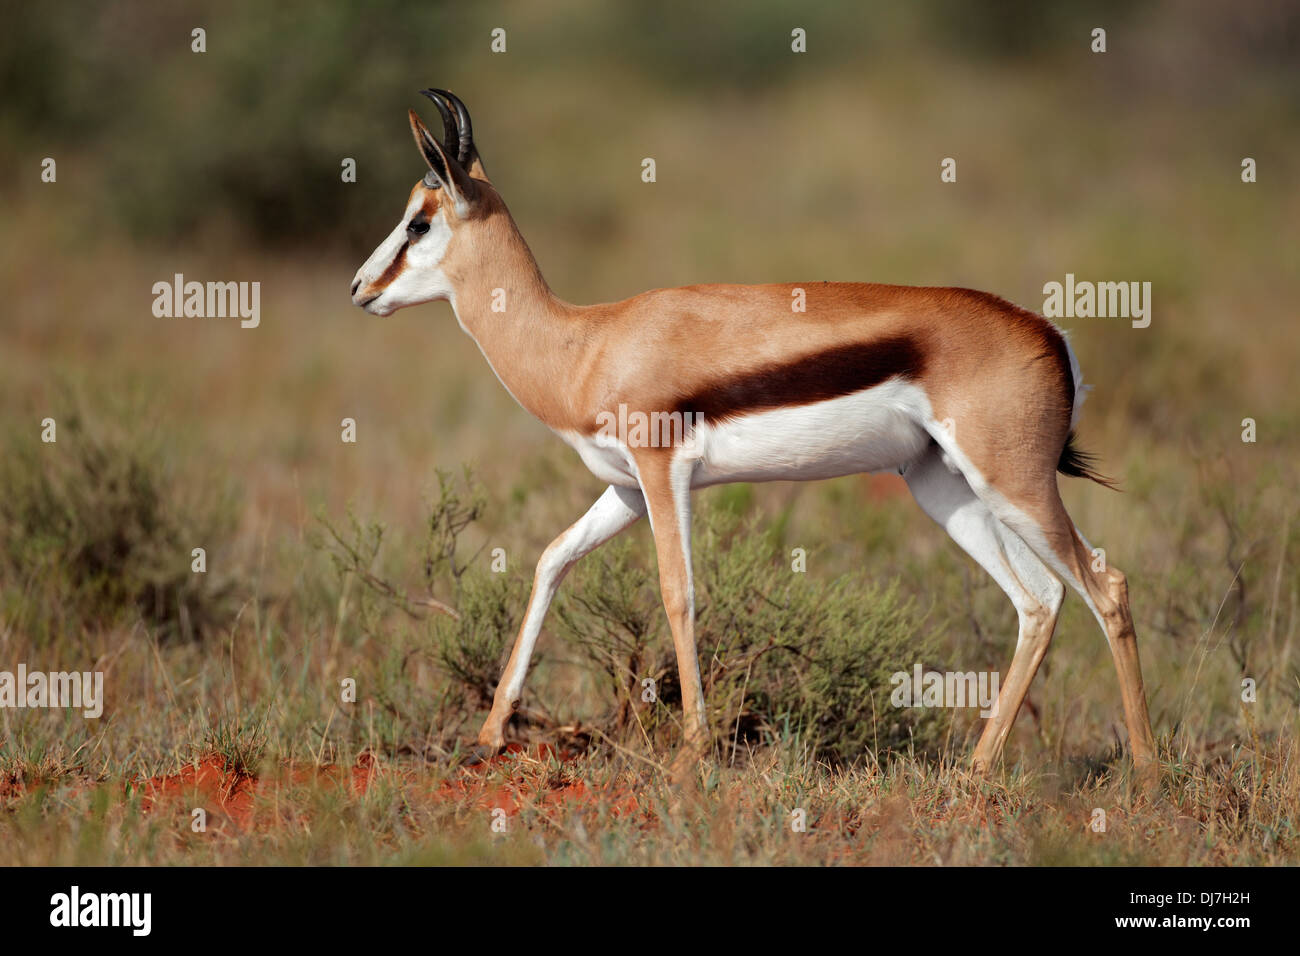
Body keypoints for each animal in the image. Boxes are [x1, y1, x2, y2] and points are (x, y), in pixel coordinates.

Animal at [351, 90, 1159, 787]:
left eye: (419, 221)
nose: (360, 289)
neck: (586, 343)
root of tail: (1049, 334)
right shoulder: (626, 489)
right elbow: (552, 559)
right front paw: (489, 735)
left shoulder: (662, 473)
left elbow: (678, 593)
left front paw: (690, 756)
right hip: (943, 487)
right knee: (1040, 601)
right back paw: (975, 771)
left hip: (1012, 482)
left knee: (1106, 585)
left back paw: (1148, 774)